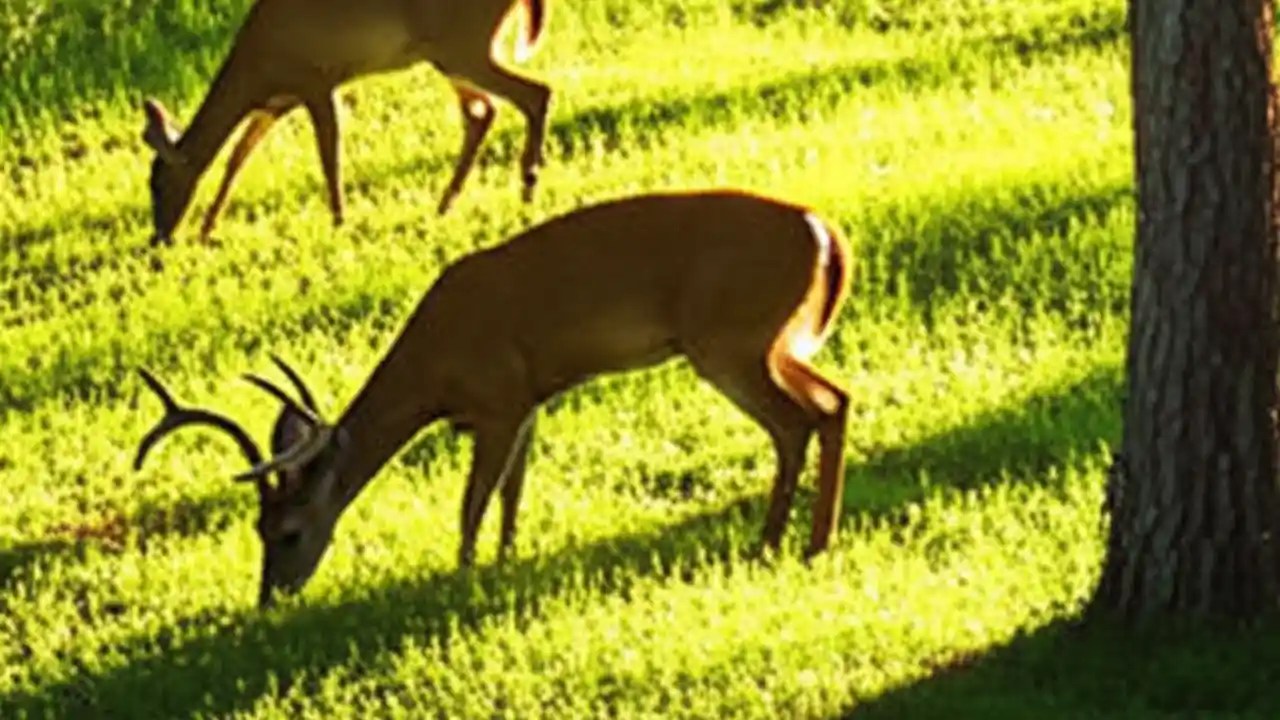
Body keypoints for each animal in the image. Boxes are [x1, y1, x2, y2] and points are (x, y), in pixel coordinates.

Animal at [133, 189, 852, 608]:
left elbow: (472, 501)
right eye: (258, 529)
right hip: (773, 341)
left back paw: (783, 543)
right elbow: (513, 491)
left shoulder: (498, 397)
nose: (270, 598)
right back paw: (811, 540)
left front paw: (461, 574)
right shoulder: (529, 398)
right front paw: (506, 562)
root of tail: (825, 232)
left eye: (288, 531)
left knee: (800, 421)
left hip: (730, 341)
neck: (433, 368)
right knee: (835, 401)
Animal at [140, 0, 551, 247]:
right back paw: (446, 204)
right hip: (448, 54)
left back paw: (527, 189)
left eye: (157, 184)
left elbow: (329, 156)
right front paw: (207, 229)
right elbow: (237, 158)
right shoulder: (274, 105)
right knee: (483, 112)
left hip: (464, 46)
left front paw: (339, 222)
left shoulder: (317, 83)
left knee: (536, 93)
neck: (255, 71)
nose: (158, 238)